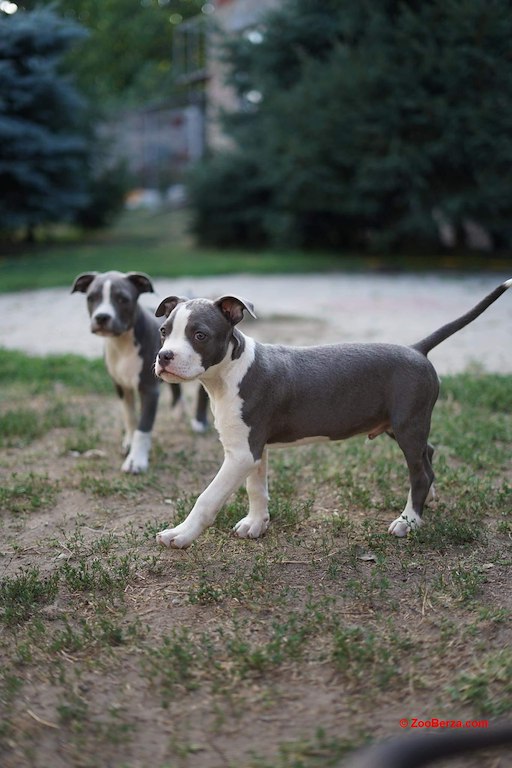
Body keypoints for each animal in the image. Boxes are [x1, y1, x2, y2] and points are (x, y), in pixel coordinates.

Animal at [71, 270, 209, 474]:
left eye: (123, 299)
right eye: (91, 298)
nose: (102, 317)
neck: (122, 344)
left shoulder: (149, 390)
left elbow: (143, 428)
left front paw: (136, 460)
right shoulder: (121, 386)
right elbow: (129, 416)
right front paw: (128, 443)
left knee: (201, 392)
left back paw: (199, 422)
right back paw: (177, 410)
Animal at [154, 280, 510, 548]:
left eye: (199, 335)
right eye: (163, 331)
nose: (164, 356)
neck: (229, 371)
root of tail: (416, 349)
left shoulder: (242, 452)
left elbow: (207, 497)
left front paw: (180, 534)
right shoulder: (253, 448)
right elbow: (257, 487)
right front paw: (256, 524)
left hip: (408, 424)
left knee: (420, 471)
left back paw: (408, 520)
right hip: (404, 424)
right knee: (428, 455)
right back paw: (426, 501)